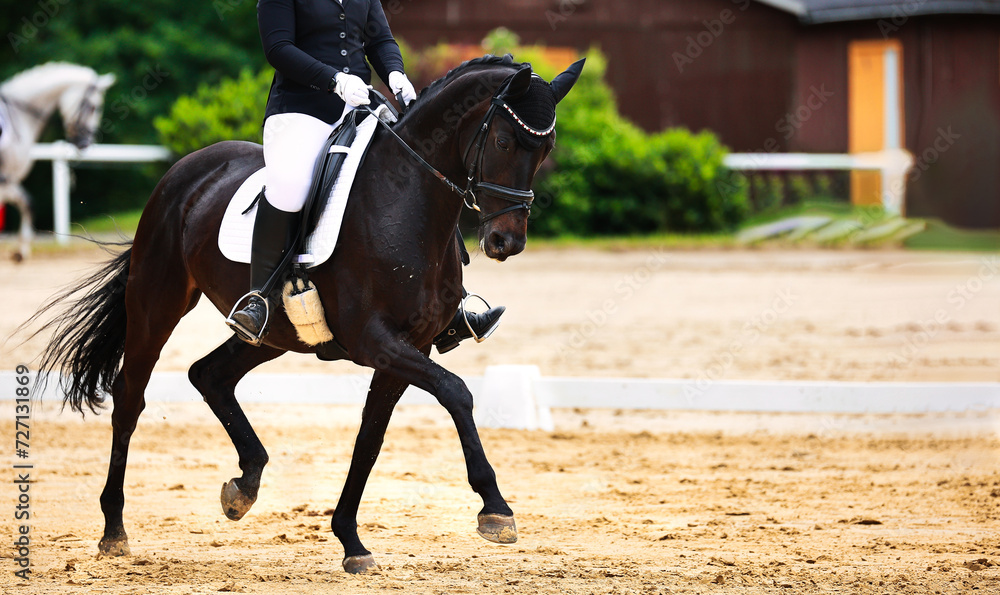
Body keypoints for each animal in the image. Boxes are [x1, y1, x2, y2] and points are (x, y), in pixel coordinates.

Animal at [0, 62, 115, 261]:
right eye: (95, 107)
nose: (85, 144)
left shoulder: (9, 179)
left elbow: (28, 203)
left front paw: (21, 251)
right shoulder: (7, 179)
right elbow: (28, 203)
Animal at [30, 55, 583, 573]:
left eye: (547, 149)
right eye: (506, 142)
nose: (506, 242)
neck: (405, 199)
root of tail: (187, 168)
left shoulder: (409, 346)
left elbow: (371, 436)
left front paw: (351, 541)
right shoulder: (375, 341)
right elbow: (456, 392)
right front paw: (495, 509)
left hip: (273, 334)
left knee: (208, 374)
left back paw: (244, 485)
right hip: (157, 302)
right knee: (130, 396)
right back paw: (114, 531)